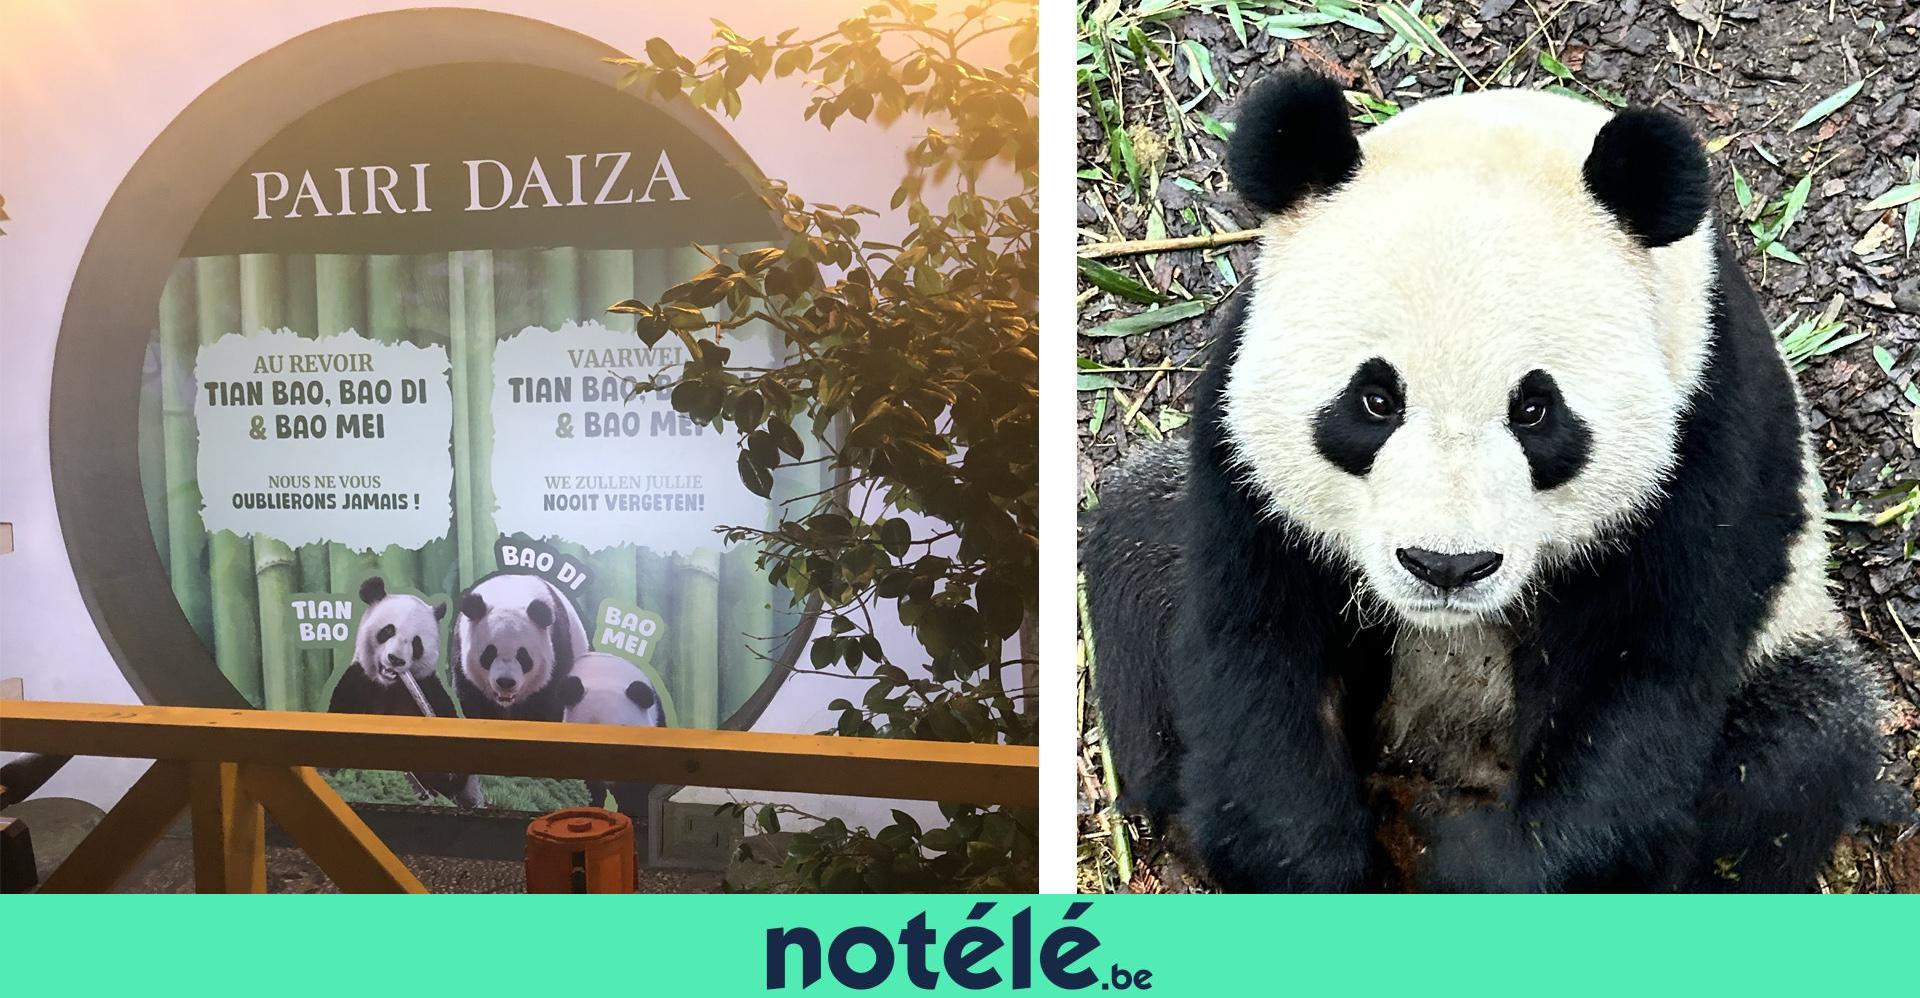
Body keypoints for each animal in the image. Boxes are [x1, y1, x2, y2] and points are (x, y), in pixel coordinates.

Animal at [327, 576, 484, 808]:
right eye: (388, 631)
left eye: (416, 643)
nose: (396, 660)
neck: (390, 685)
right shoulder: (357, 683)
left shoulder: (429, 687)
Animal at [451, 571, 590, 723]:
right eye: (489, 654)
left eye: (523, 656)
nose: (505, 682)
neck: (510, 596)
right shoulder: (461, 653)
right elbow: (473, 699)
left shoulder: (557, 649)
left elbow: (550, 701)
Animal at [1084, 74, 1901, 892]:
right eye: (1375, 400)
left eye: (1535, 411)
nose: (1446, 567)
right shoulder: (1241, 450)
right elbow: (1257, 653)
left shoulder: (1702, 434)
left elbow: (1633, 691)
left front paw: (1476, 863)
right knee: (1130, 545)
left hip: (1785, 638)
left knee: (1795, 749)